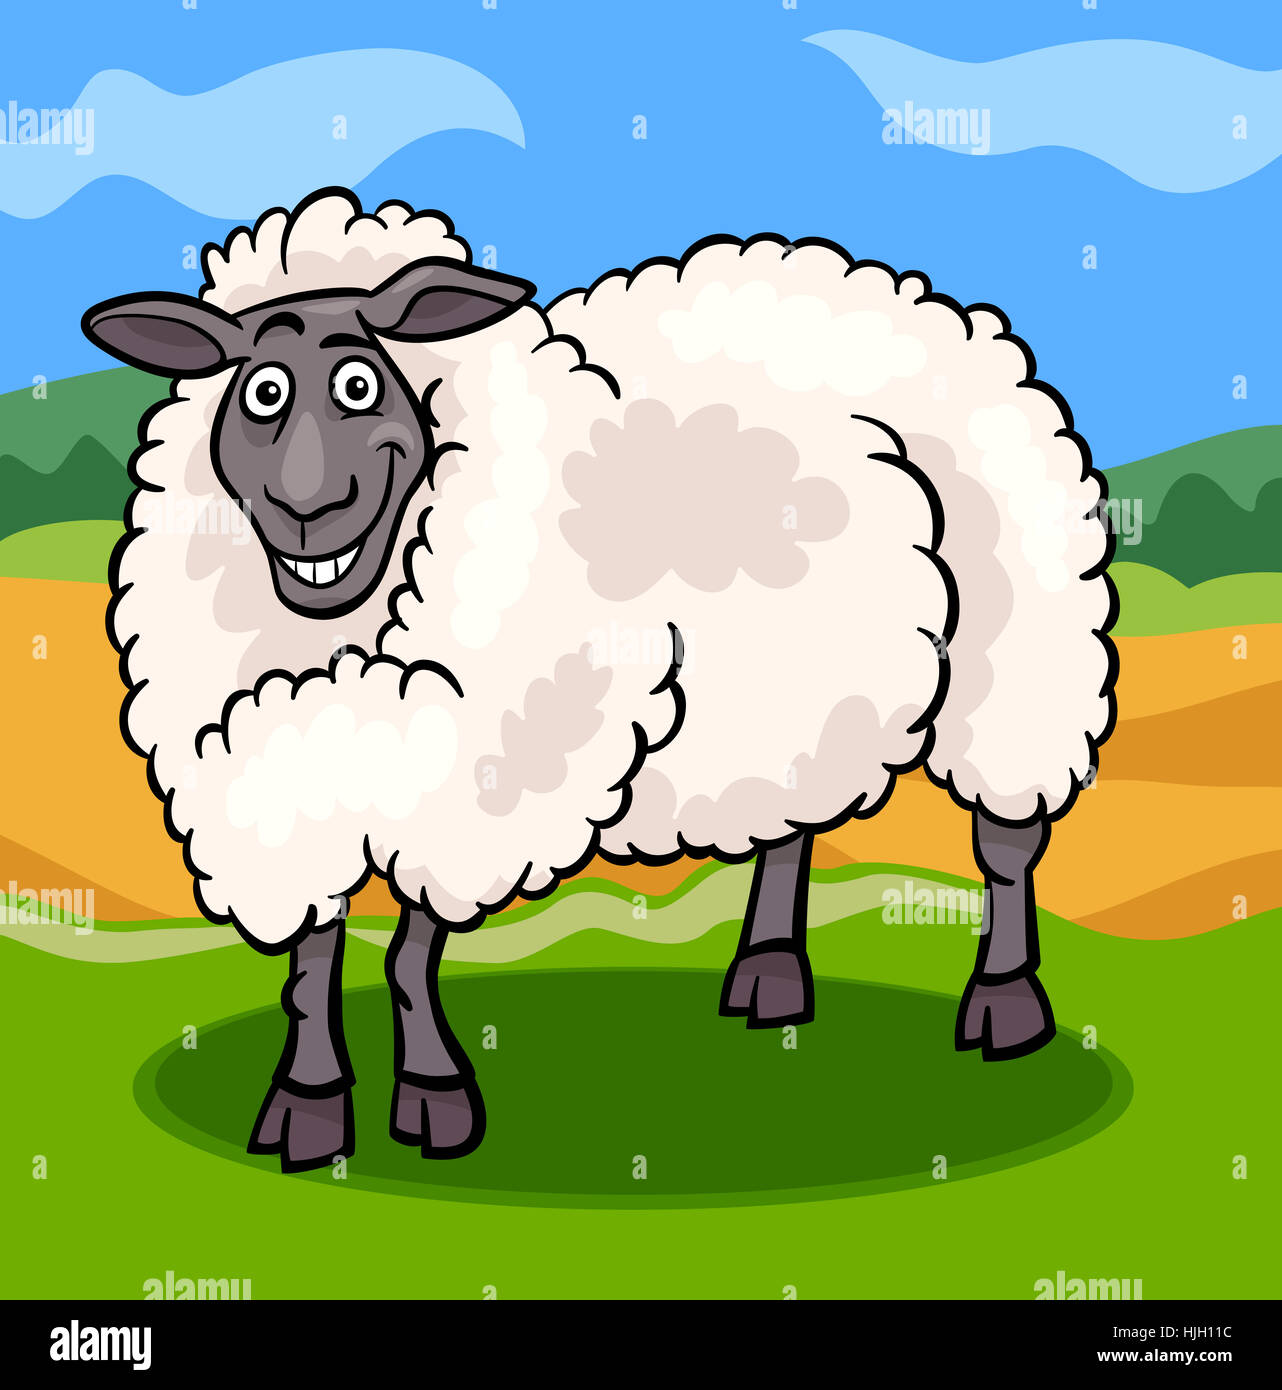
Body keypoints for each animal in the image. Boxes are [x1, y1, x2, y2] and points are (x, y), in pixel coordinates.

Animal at [83, 188, 1116, 1171]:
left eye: (358, 383)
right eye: (260, 391)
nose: (308, 509)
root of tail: (871, 285)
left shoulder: (468, 781)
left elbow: (412, 953)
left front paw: (434, 1095)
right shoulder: (277, 777)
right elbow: (312, 956)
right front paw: (307, 1108)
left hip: (1024, 659)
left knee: (1006, 842)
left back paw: (1005, 1004)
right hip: (801, 700)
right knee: (793, 821)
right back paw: (770, 976)